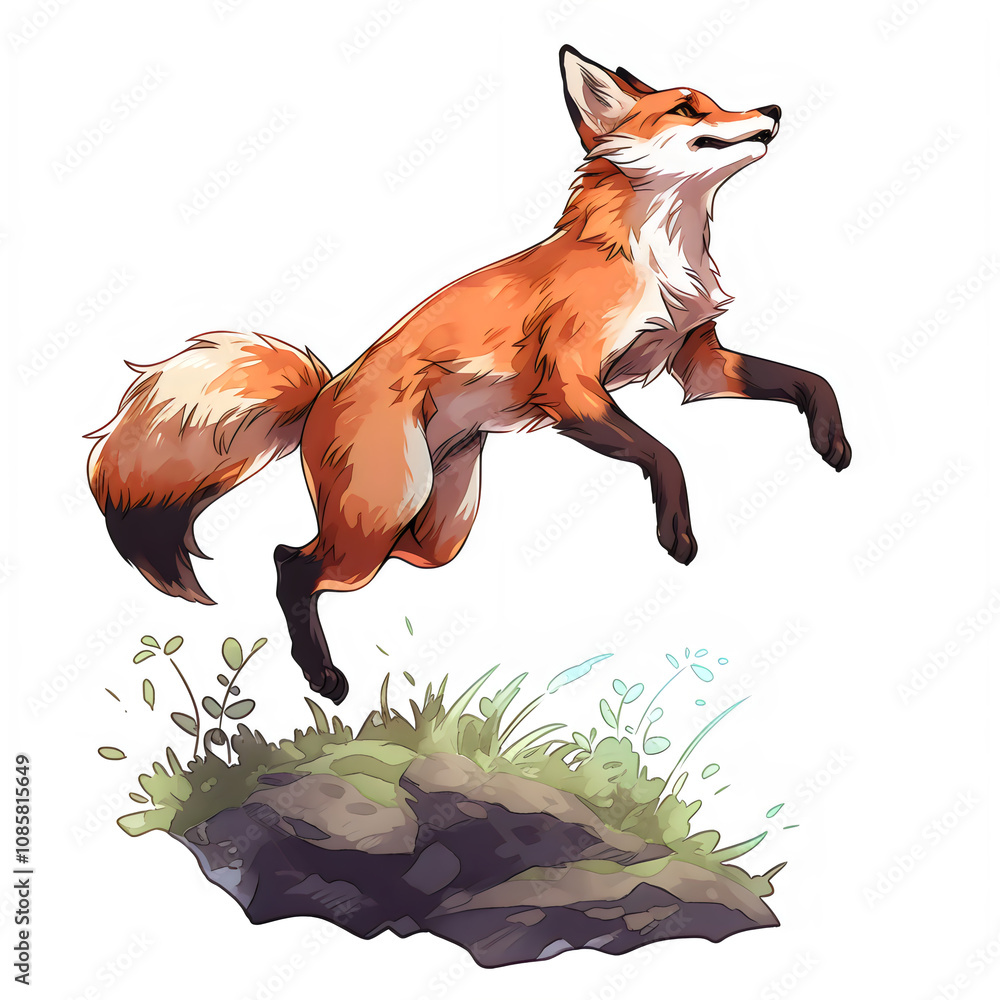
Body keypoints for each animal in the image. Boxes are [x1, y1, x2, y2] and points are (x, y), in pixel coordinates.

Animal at [87, 46, 850, 704]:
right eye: (690, 109)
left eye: (716, 100)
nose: (775, 107)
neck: (654, 257)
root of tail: (323, 393)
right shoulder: (572, 388)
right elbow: (666, 455)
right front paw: (677, 533)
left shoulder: (698, 363)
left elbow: (812, 380)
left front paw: (833, 443)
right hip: (382, 512)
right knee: (291, 563)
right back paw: (323, 677)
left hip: (437, 528)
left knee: (322, 554)